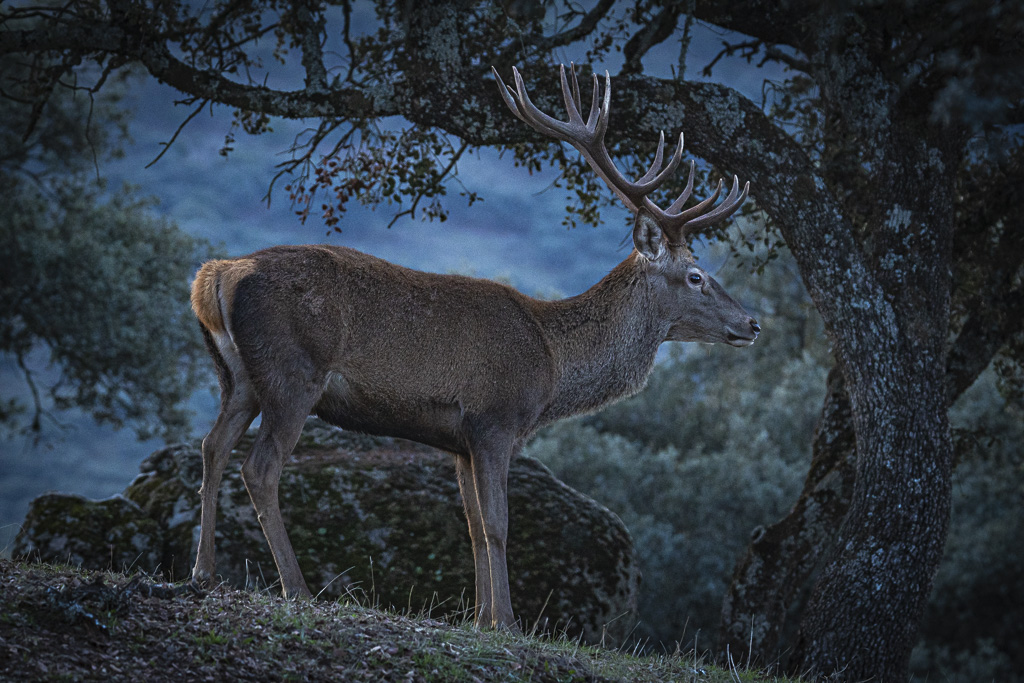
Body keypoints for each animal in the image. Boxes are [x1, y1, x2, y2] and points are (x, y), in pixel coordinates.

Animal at [188, 64, 760, 631]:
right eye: (696, 277)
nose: (752, 323)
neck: (552, 367)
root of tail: (216, 277)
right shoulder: (494, 419)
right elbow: (499, 524)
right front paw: (506, 621)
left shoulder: (459, 441)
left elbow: (474, 526)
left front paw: (481, 616)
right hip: (293, 371)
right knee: (259, 468)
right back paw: (297, 589)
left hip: (238, 377)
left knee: (212, 446)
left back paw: (204, 572)